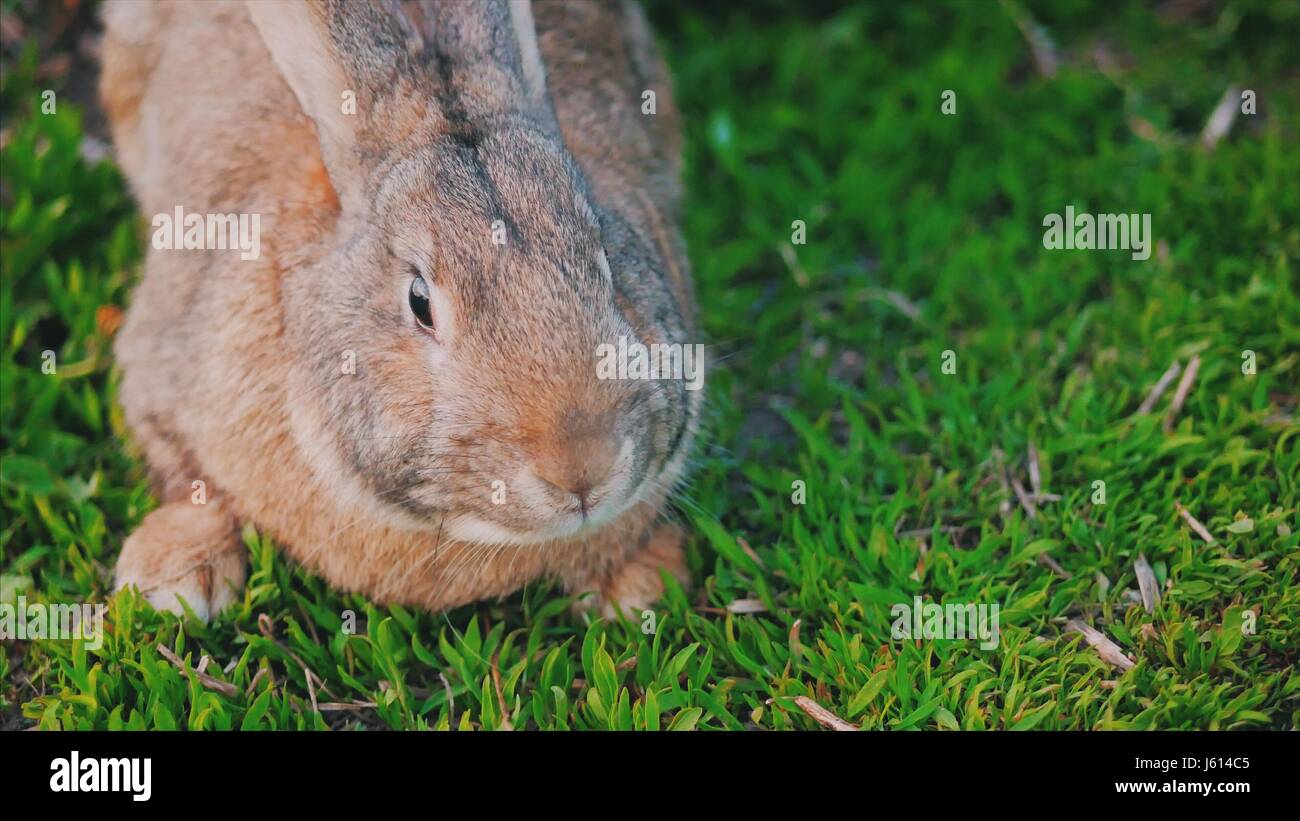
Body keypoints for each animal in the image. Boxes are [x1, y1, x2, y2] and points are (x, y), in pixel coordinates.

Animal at [99, 0, 702, 622]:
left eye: (605, 253)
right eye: (420, 302)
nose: (582, 469)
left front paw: (636, 585)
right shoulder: (161, 363)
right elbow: (186, 479)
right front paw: (174, 578)